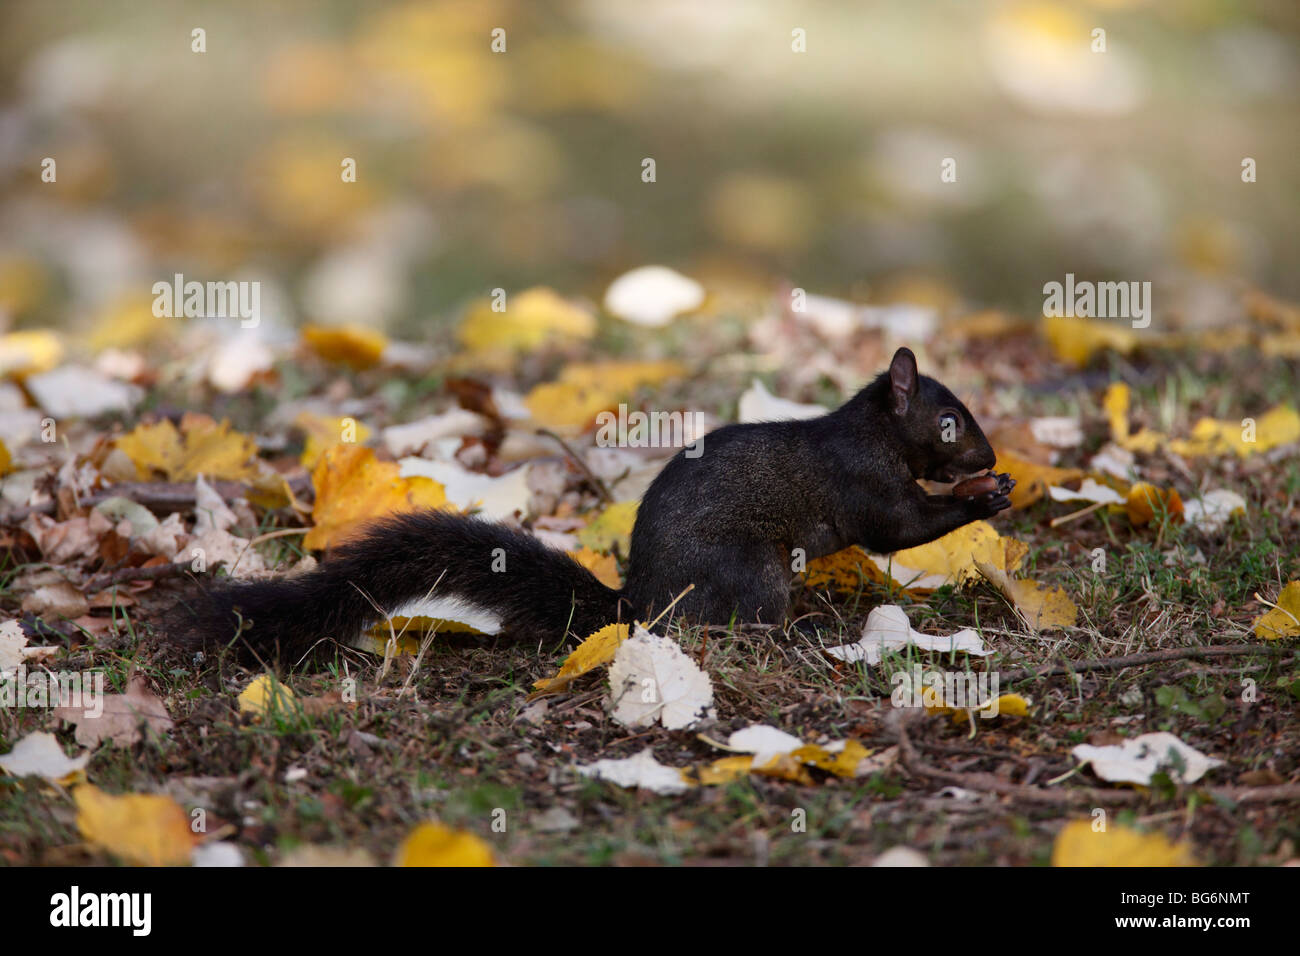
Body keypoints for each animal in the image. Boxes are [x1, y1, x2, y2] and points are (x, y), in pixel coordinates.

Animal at [167, 347, 1014, 665]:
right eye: (950, 420)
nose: (993, 459)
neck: (873, 430)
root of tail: (635, 602)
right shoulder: (862, 481)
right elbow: (902, 527)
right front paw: (981, 497)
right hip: (749, 570)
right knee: (731, 623)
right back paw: (792, 627)